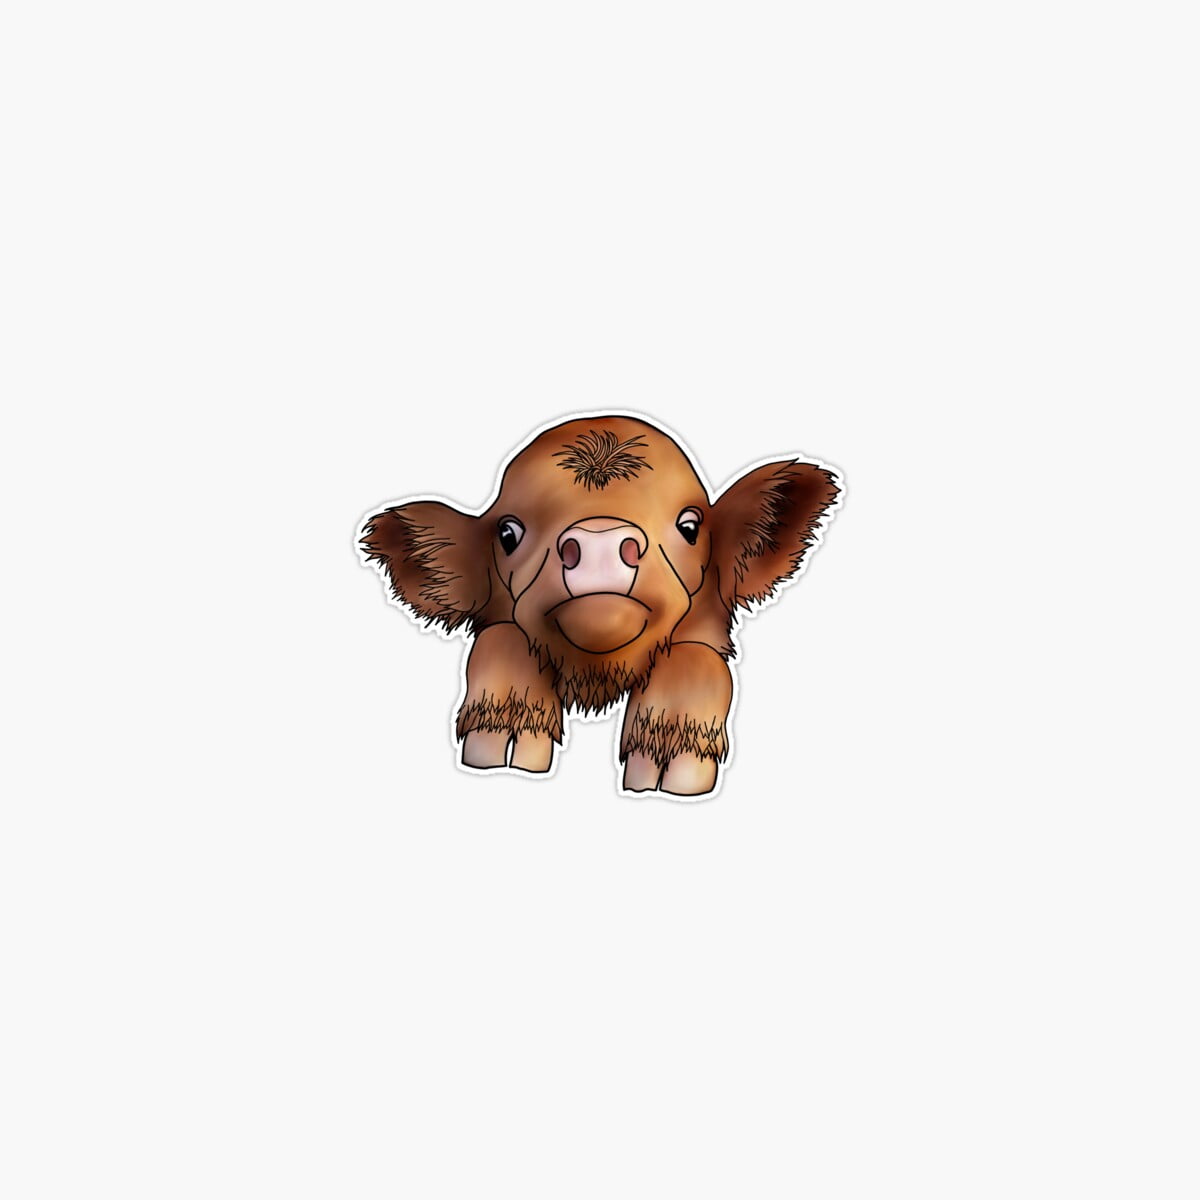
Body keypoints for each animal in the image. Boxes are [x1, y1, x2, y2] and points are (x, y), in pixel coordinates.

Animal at [359, 414, 841, 797]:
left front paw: (670, 765)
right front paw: (506, 738)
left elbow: (695, 660)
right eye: (508, 533)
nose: (598, 541)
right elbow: (502, 637)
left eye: (690, 526)